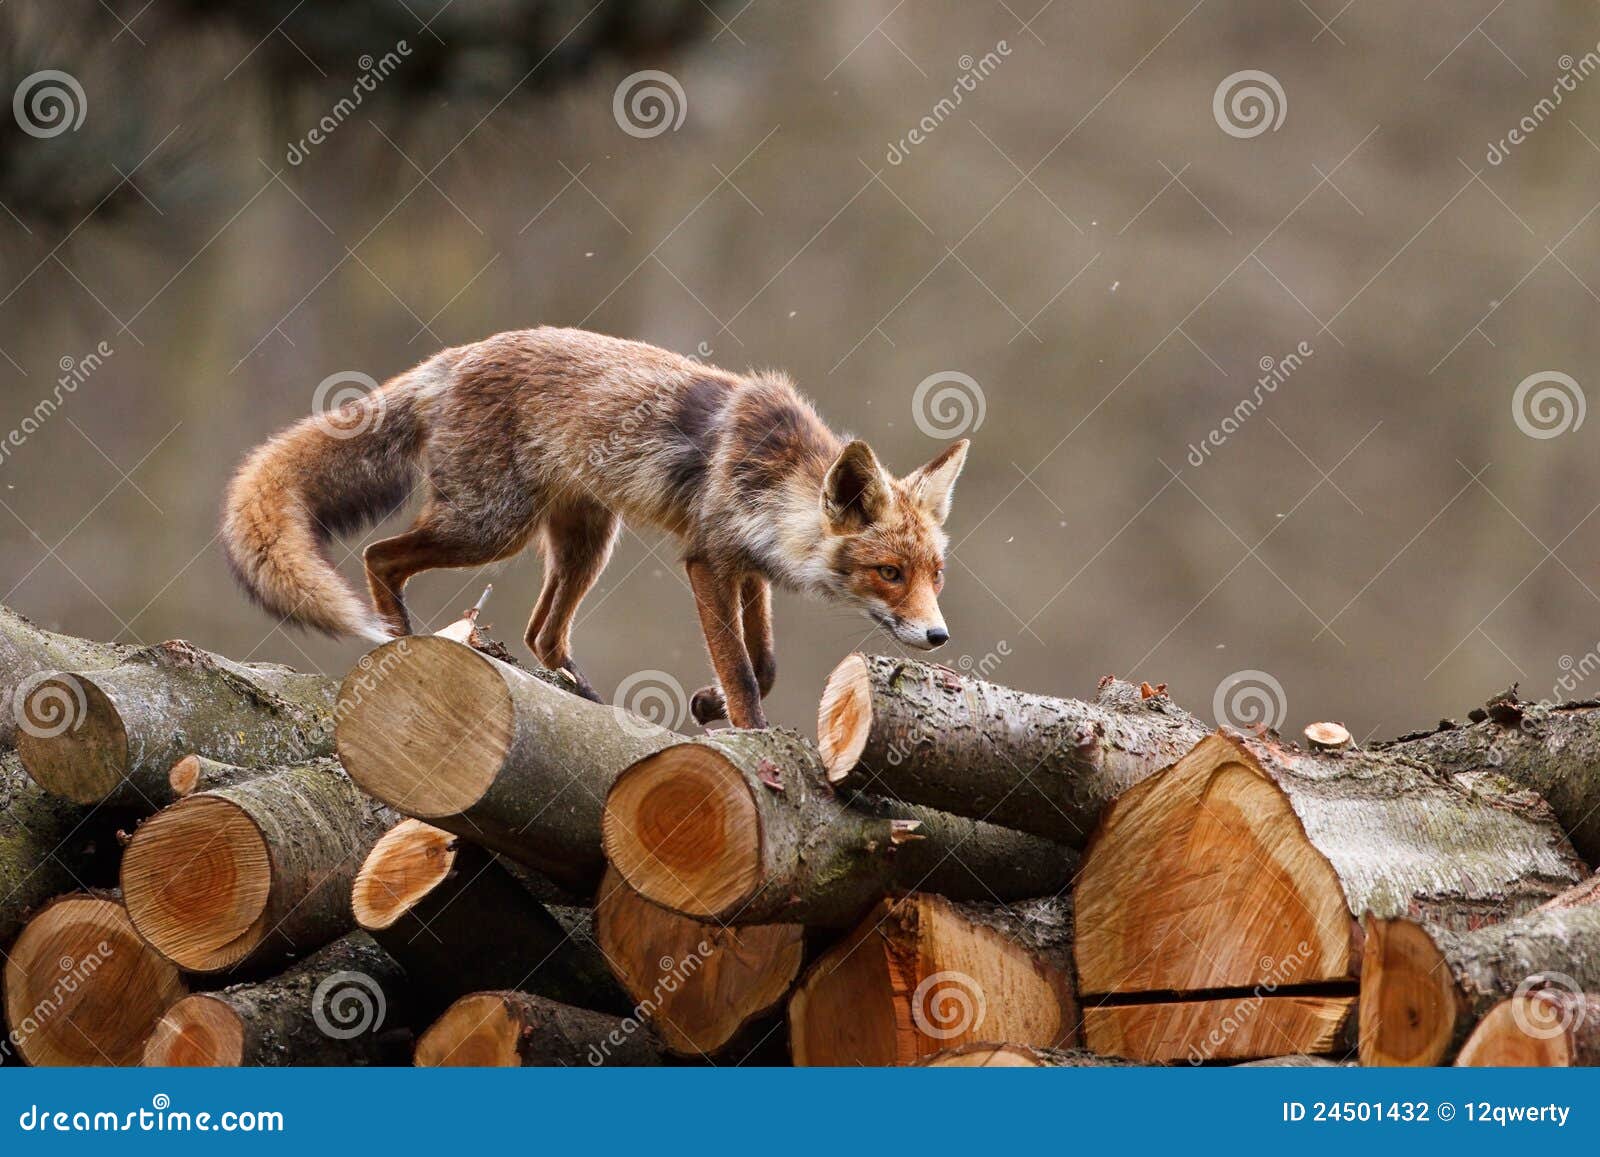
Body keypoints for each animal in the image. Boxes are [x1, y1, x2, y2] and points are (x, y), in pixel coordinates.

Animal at [221, 327, 968, 730]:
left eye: (935, 575)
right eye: (888, 573)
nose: (939, 636)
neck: (777, 479)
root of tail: (457, 355)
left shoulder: (746, 566)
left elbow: (764, 663)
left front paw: (708, 704)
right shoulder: (706, 560)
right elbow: (745, 673)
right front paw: (751, 736)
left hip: (586, 542)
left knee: (541, 633)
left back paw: (578, 692)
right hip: (490, 528)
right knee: (381, 555)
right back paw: (404, 640)